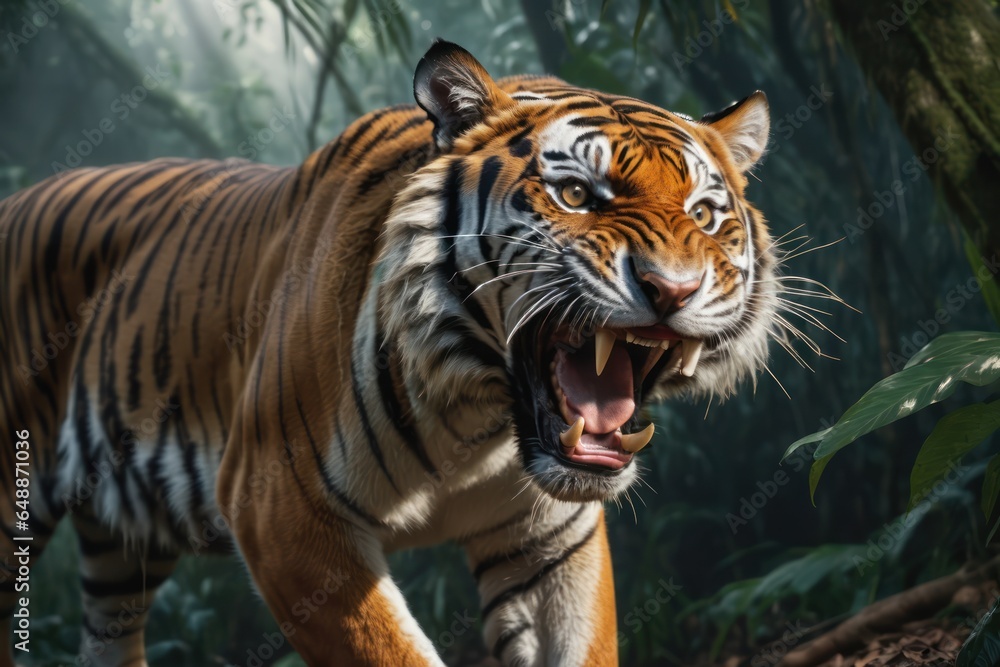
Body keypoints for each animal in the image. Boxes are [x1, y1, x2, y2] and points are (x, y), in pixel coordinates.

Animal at [0, 40, 774, 666]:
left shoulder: (552, 542)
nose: (672, 288)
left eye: (706, 215)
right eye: (577, 194)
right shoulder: (280, 509)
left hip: (122, 546)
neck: (479, 422)